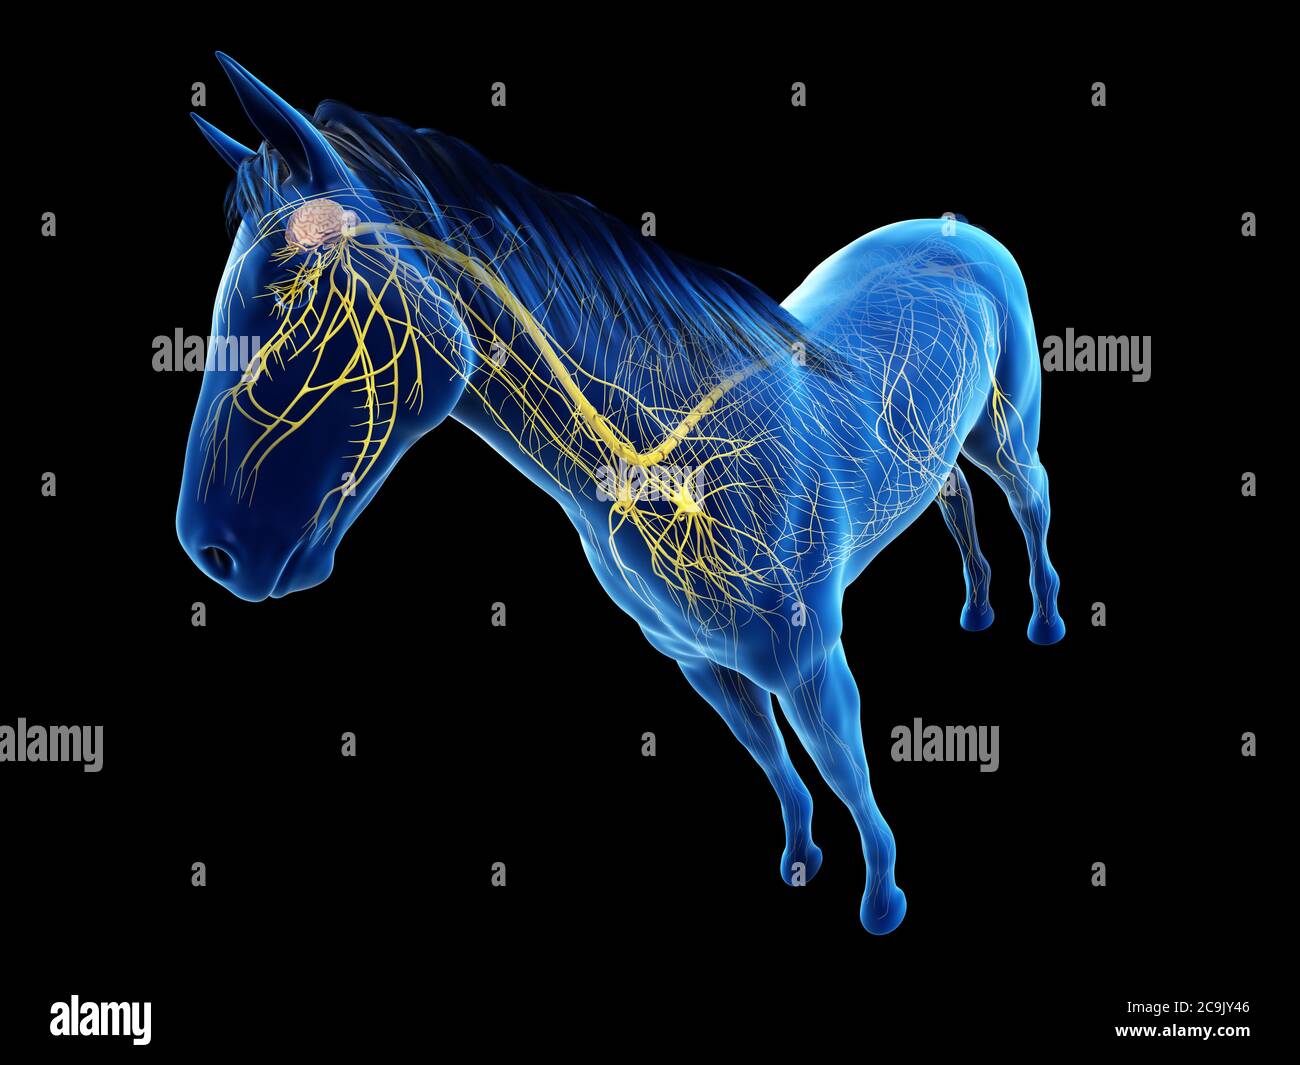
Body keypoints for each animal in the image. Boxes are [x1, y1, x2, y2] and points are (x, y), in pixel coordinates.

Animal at [177, 54, 1065, 934]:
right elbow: (772, 758)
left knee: (1028, 498)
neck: (664, 460)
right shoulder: (701, 660)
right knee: (953, 495)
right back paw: (977, 608)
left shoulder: (807, 655)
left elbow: (844, 764)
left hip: (1003, 424)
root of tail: (954, 228)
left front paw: (882, 901)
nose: (213, 549)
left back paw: (1042, 621)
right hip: (937, 435)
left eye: (290, 291)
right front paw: (801, 859)